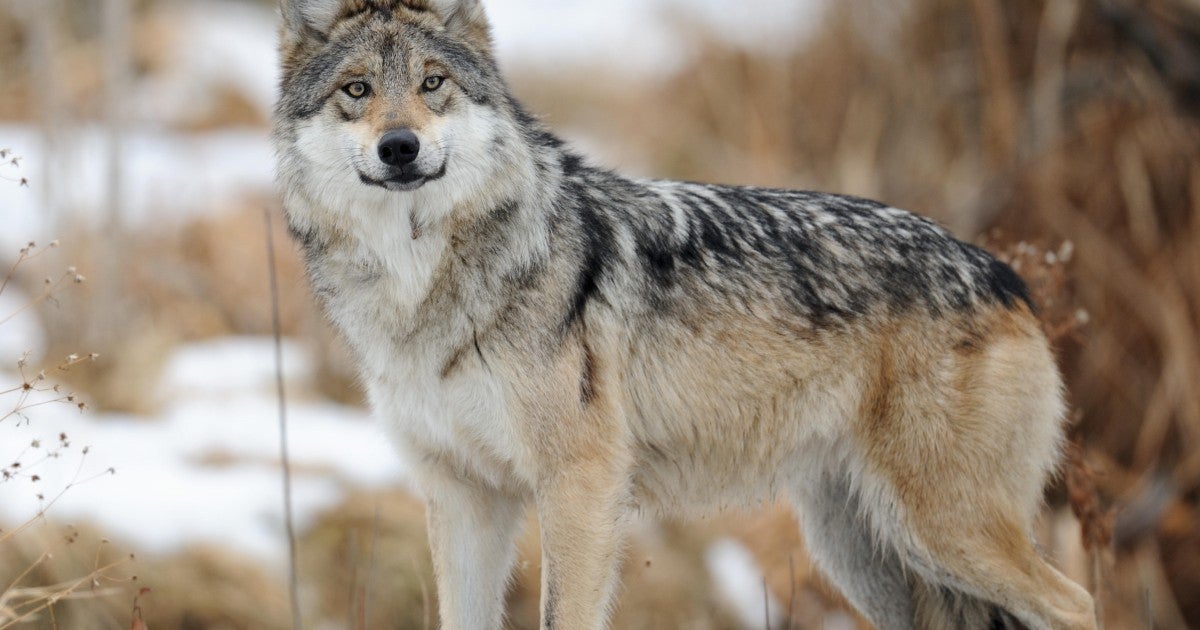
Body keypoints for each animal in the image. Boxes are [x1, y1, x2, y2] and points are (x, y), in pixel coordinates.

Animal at [273, 1, 1098, 628]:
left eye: (433, 83)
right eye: (356, 90)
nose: (400, 146)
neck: (420, 288)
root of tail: (1005, 276)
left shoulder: (581, 484)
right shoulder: (462, 497)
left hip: (944, 532)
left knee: (1079, 602)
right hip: (866, 555)